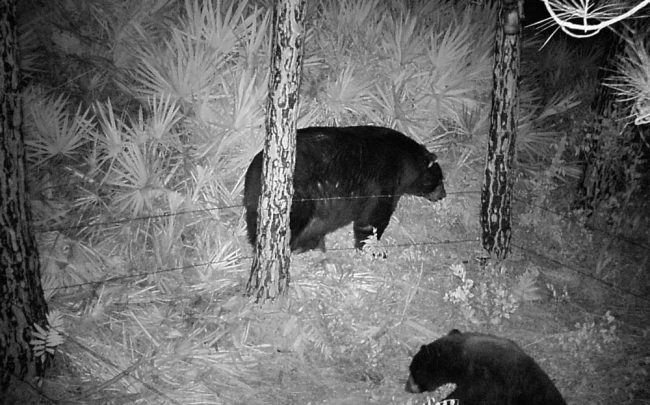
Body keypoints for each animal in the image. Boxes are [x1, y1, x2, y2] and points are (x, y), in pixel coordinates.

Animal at [244, 126, 446, 253]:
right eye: (440, 180)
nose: (443, 195)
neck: (406, 162)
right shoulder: (385, 179)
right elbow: (373, 216)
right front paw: (371, 247)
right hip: (300, 195)